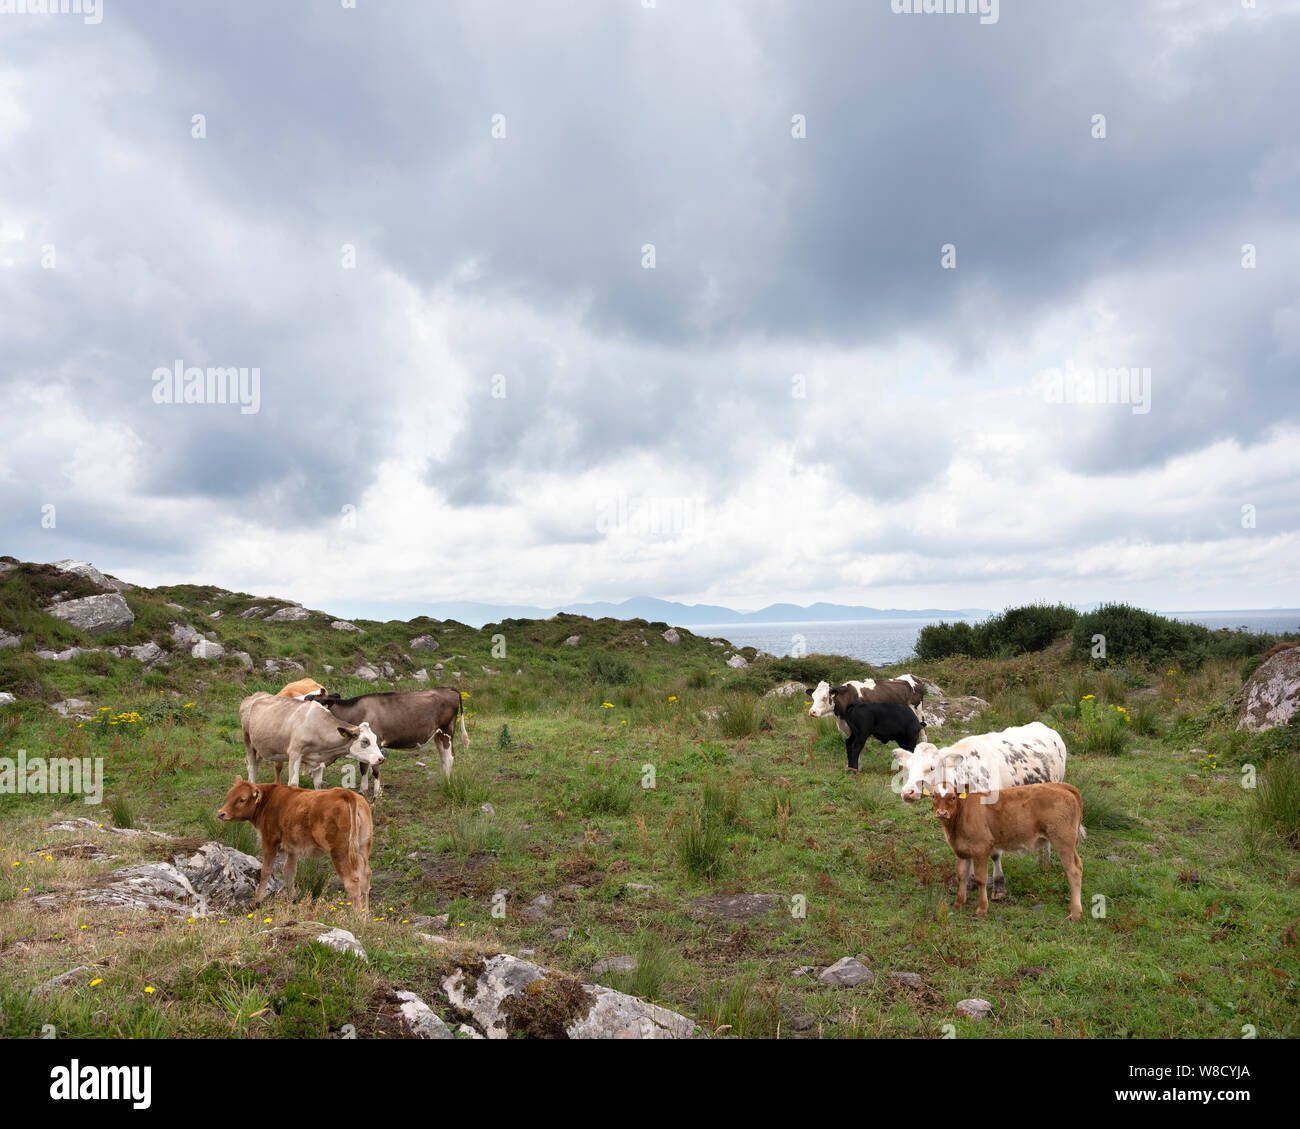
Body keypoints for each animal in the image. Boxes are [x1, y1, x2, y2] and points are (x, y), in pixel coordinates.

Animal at [217, 776, 373, 914]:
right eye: (228, 796)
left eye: (242, 799)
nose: (221, 813)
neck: (269, 800)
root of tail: (344, 793)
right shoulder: (293, 848)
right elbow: (289, 871)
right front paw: (292, 899)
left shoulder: (269, 842)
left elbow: (265, 871)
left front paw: (256, 902)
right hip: (362, 847)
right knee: (365, 877)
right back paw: (365, 916)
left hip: (339, 852)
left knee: (352, 881)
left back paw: (356, 917)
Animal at [239, 692, 385, 790]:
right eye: (365, 741)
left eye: (375, 739)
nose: (381, 758)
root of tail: (253, 696)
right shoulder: (295, 753)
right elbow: (293, 783)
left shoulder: (318, 759)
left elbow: (318, 783)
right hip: (247, 740)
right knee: (251, 766)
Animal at [313, 687, 468, 796]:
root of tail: (448, 688)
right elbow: (363, 767)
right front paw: (363, 790)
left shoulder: (376, 742)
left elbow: (374, 769)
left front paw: (377, 794)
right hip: (438, 735)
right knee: (443, 757)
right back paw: (444, 780)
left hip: (447, 731)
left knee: (449, 757)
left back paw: (447, 784)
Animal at [892, 721, 1069, 898]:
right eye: (908, 767)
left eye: (932, 768)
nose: (907, 792)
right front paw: (969, 882)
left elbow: (995, 854)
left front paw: (999, 886)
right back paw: (1042, 862)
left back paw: (1046, 864)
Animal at [931, 779, 1085, 922]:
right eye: (933, 796)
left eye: (953, 797)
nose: (942, 813)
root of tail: (1062, 786)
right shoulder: (961, 851)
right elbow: (962, 876)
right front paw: (958, 904)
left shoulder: (981, 848)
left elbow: (981, 879)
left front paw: (982, 909)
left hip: (1063, 840)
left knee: (1073, 870)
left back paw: (1075, 913)